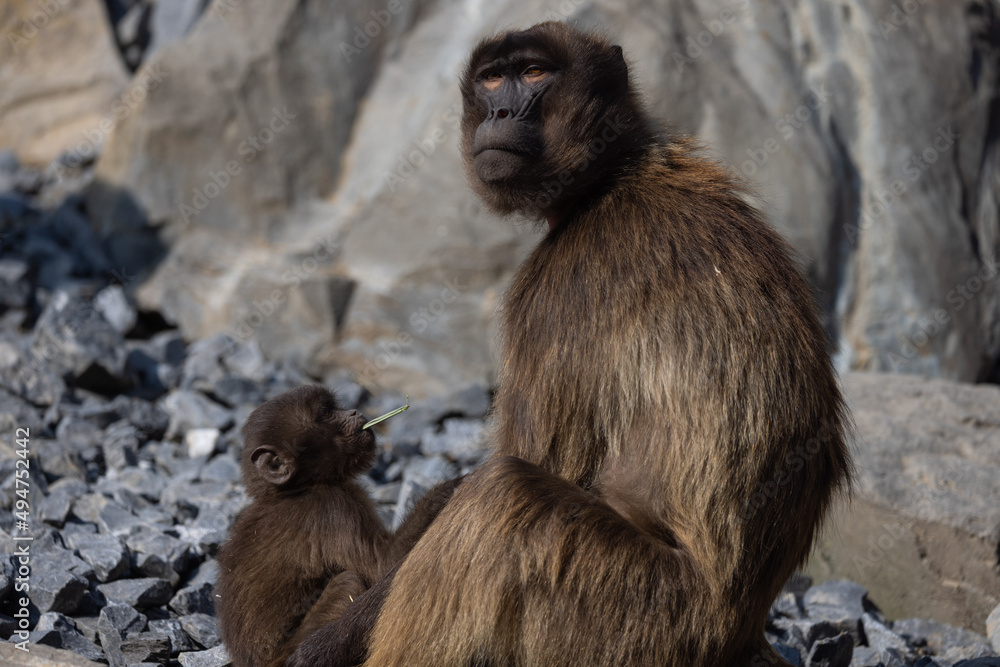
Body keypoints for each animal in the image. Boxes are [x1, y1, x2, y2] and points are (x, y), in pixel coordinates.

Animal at [217, 385, 462, 667]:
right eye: (325, 413)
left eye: (333, 407)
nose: (354, 412)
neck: (294, 490)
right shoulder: (332, 508)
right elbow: (385, 565)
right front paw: (448, 489)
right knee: (349, 581)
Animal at [289, 21, 852, 667]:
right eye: (492, 79)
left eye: (534, 73)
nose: (500, 111)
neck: (610, 178)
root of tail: (742, 630)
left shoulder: (555, 290)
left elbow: (536, 464)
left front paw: (322, 646)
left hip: (645, 620)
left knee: (504, 499)